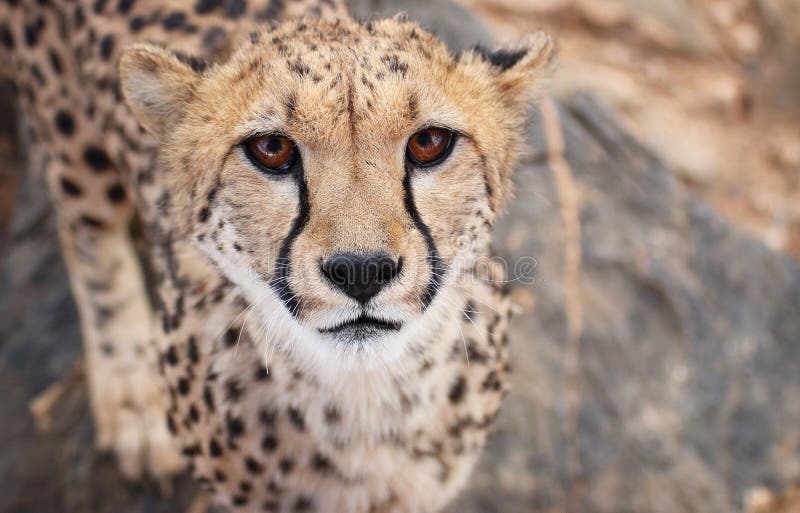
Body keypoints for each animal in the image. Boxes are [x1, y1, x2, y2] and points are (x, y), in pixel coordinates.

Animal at [0, 0, 555, 511]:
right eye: (271, 149)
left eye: (429, 142)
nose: (361, 270)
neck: (363, 392)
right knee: (86, 229)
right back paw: (133, 403)